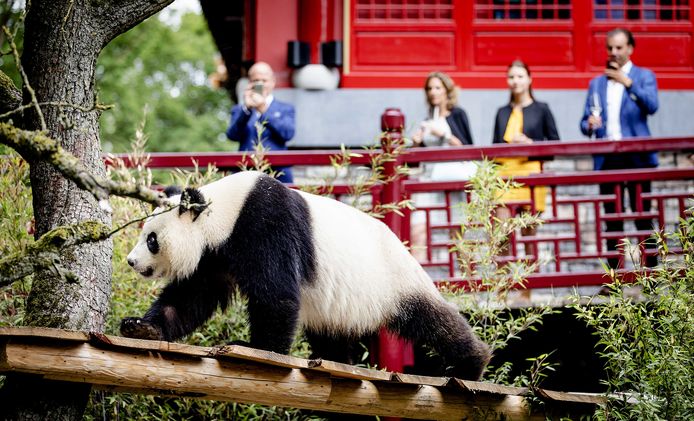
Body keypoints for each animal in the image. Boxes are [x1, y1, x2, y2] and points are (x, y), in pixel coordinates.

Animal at [121, 171, 490, 380]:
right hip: (339, 307)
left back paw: (472, 364)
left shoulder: (264, 221)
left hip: (392, 278)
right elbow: (191, 297)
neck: (225, 209)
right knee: (331, 335)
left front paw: (258, 347)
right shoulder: (213, 255)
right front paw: (141, 327)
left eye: (151, 239)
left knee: (431, 319)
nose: (130, 261)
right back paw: (334, 360)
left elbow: (276, 293)